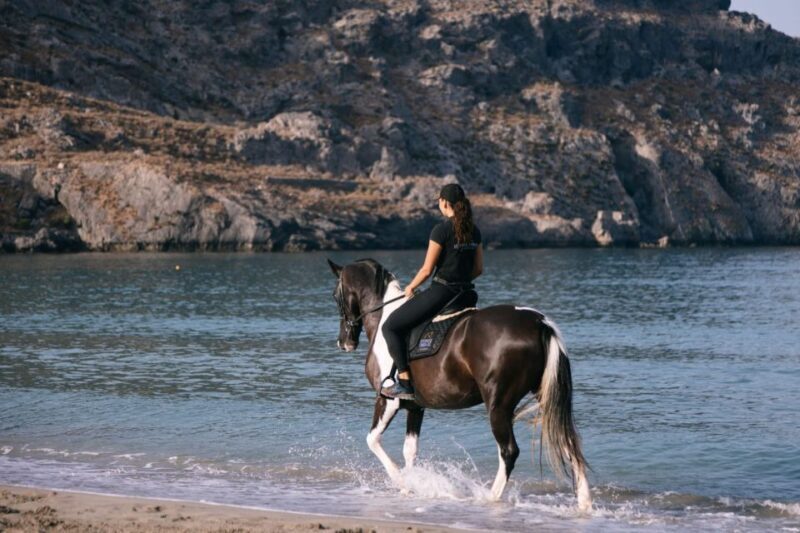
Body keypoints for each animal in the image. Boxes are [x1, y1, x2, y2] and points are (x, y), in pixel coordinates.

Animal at [328, 258, 592, 511]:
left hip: (499, 405)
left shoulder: (388, 400)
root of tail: (538, 322)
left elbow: (372, 440)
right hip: (544, 398)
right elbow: (410, 450)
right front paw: (411, 486)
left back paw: (491, 498)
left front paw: (402, 482)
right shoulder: (415, 406)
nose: (343, 342)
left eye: (335, 295)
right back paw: (585, 503)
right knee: (568, 443)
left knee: (508, 451)